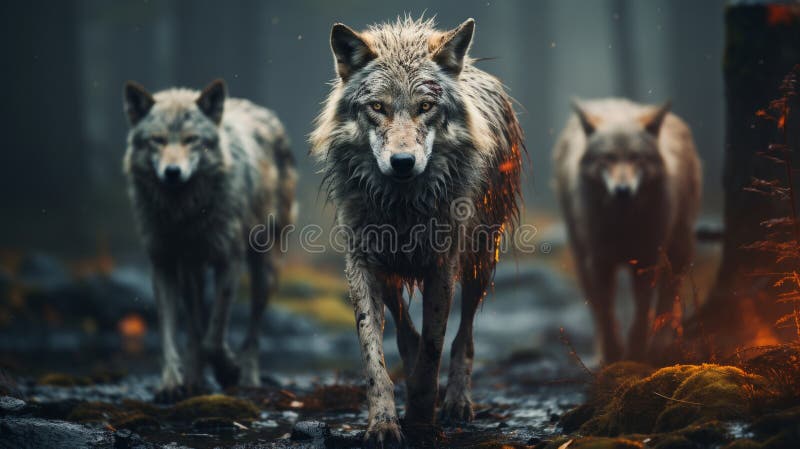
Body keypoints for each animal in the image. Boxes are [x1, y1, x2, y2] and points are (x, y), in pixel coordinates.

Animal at [123, 79, 297, 401]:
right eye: (157, 140)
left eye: (192, 140)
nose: (172, 173)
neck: (183, 214)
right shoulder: (165, 263)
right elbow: (175, 333)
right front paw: (171, 384)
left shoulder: (229, 260)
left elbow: (213, 337)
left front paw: (229, 370)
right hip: (193, 271)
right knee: (195, 327)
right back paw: (194, 379)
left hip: (265, 269)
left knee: (253, 332)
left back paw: (248, 377)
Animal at [310, 17, 524, 447]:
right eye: (377, 107)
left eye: (425, 107)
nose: (403, 162)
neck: (403, 208)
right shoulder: (362, 264)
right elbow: (374, 356)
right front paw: (383, 423)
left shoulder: (442, 265)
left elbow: (434, 346)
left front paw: (424, 417)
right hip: (391, 273)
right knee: (406, 335)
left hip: (479, 262)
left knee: (464, 337)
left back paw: (457, 402)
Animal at [554, 98, 701, 363]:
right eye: (607, 158)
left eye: (636, 158)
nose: (622, 190)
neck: (622, 225)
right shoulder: (599, 262)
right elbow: (606, 312)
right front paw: (612, 356)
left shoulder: (645, 260)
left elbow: (641, 312)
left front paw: (635, 352)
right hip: (581, 259)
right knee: (595, 308)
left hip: (679, 248)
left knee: (668, 296)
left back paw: (660, 343)